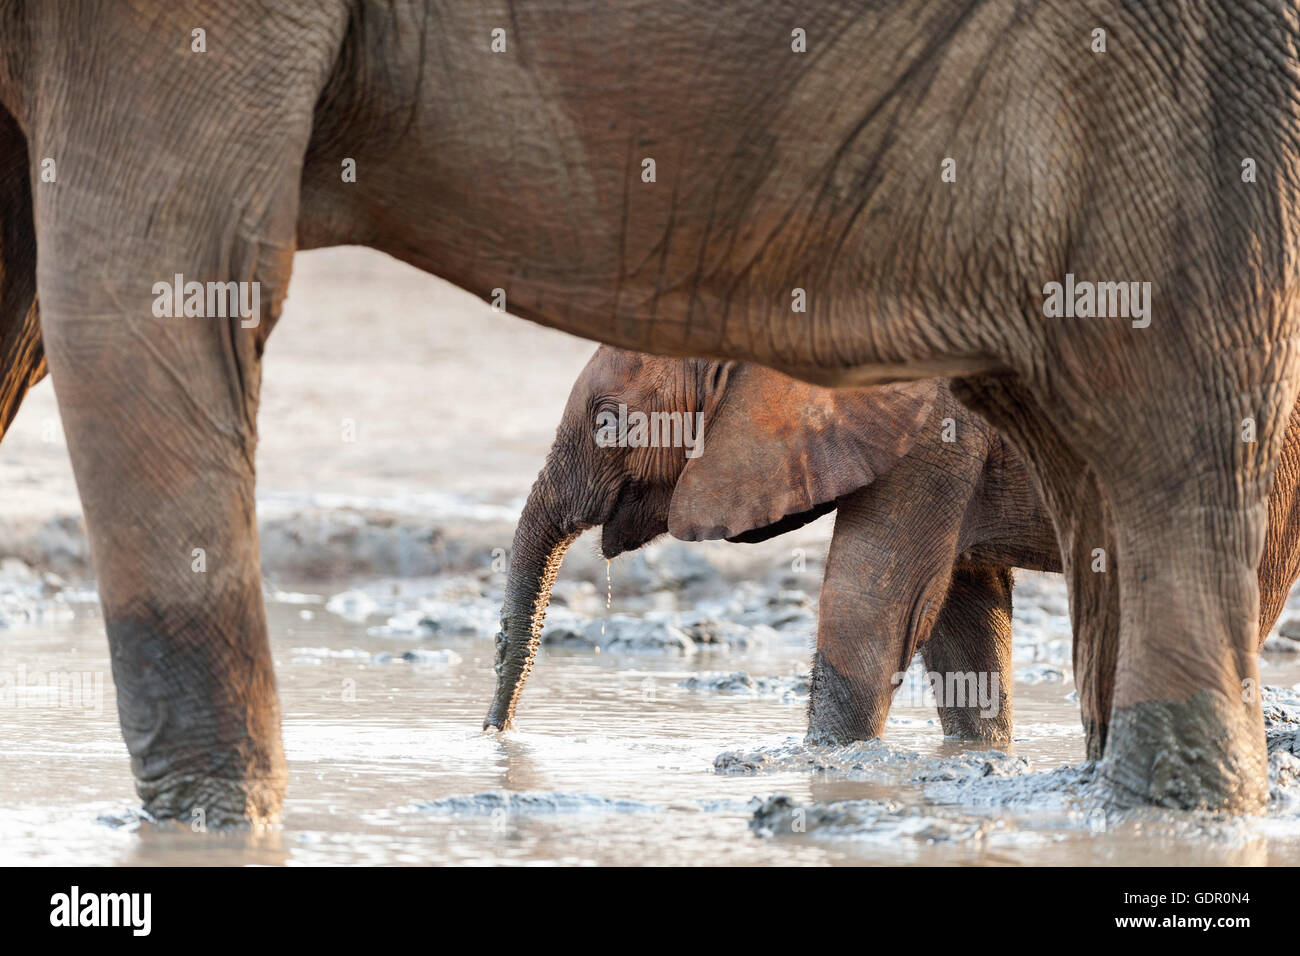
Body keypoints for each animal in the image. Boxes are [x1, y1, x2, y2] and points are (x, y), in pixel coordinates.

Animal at [486, 347, 1300, 745]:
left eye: (607, 419)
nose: (494, 740)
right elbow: (964, 621)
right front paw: (978, 760)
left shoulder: (933, 428)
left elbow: (868, 613)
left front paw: (826, 765)